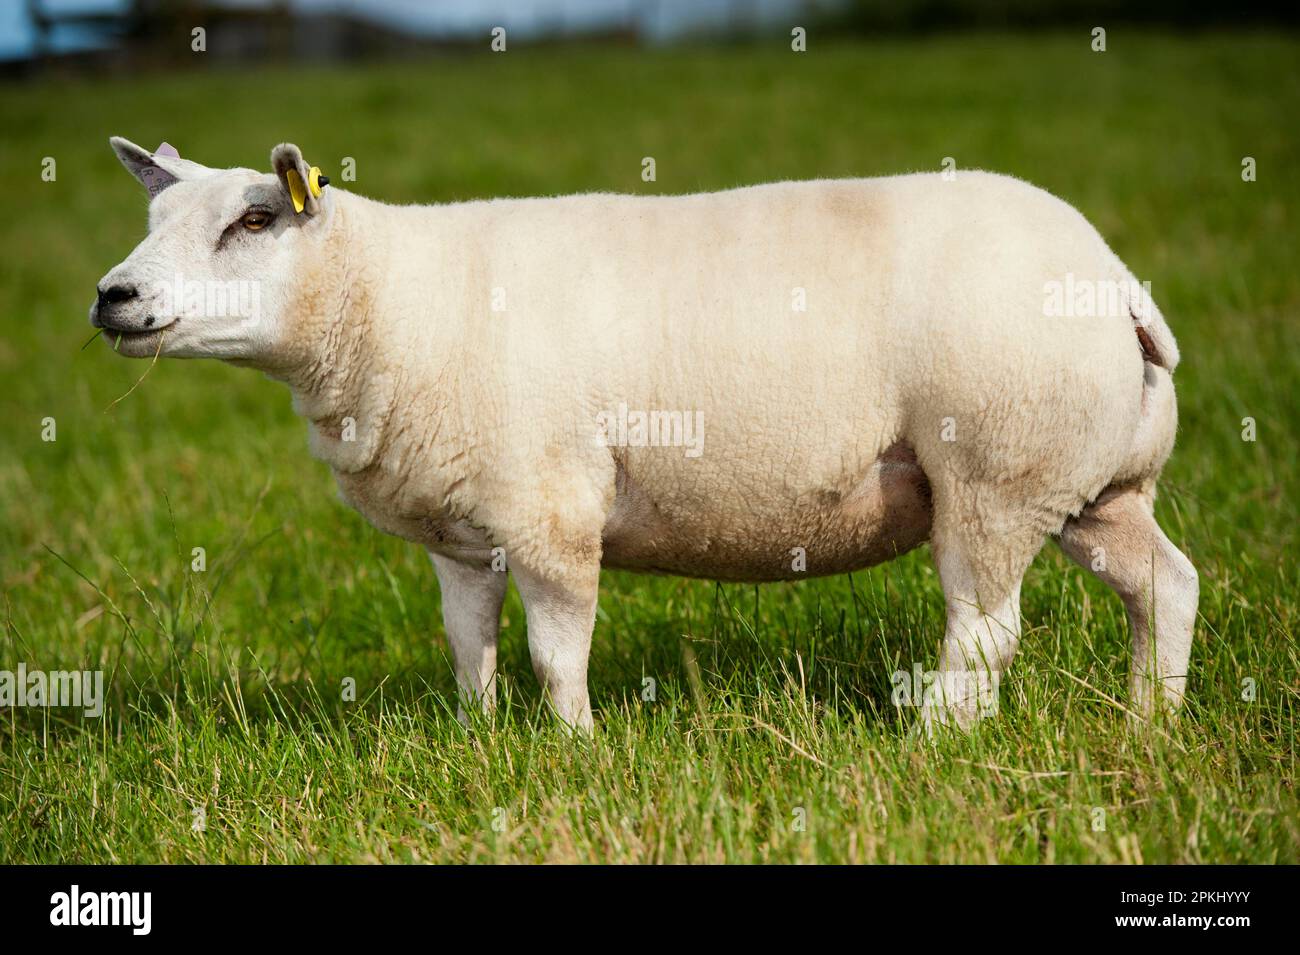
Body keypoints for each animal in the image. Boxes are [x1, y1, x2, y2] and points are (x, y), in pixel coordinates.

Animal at [91, 136, 1197, 732]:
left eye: (254, 222)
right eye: (155, 220)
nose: (113, 297)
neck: (392, 298)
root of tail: (1117, 282)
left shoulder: (548, 506)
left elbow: (554, 653)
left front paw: (572, 751)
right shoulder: (462, 531)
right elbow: (467, 646)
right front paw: (476, 738)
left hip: (996, 468)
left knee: (985, 629)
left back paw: (931, 737)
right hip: (1093, 484)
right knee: (1166, 584)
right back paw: (1151, 720)